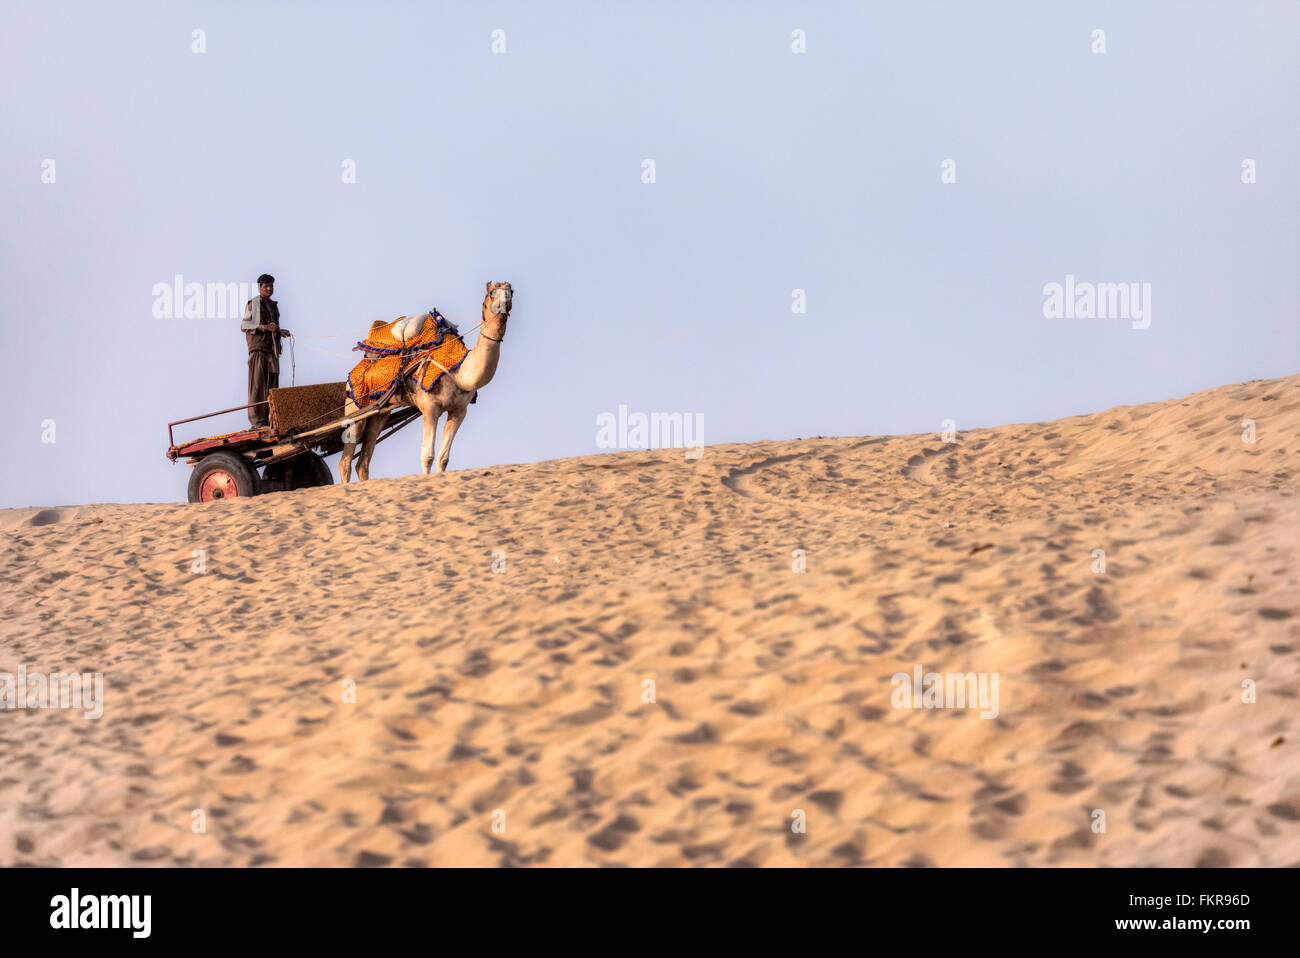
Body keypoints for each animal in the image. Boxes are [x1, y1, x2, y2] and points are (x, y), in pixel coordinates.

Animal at [338, 281, 514, 482]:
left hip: (379, 412)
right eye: (492, 292)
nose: (506, 300)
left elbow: (443, 458)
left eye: (512, 291)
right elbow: (427, 455)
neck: (458, 371)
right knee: (345, 460)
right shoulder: (430, 407)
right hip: (355, 406)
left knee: (363, 461)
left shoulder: (459, 411)